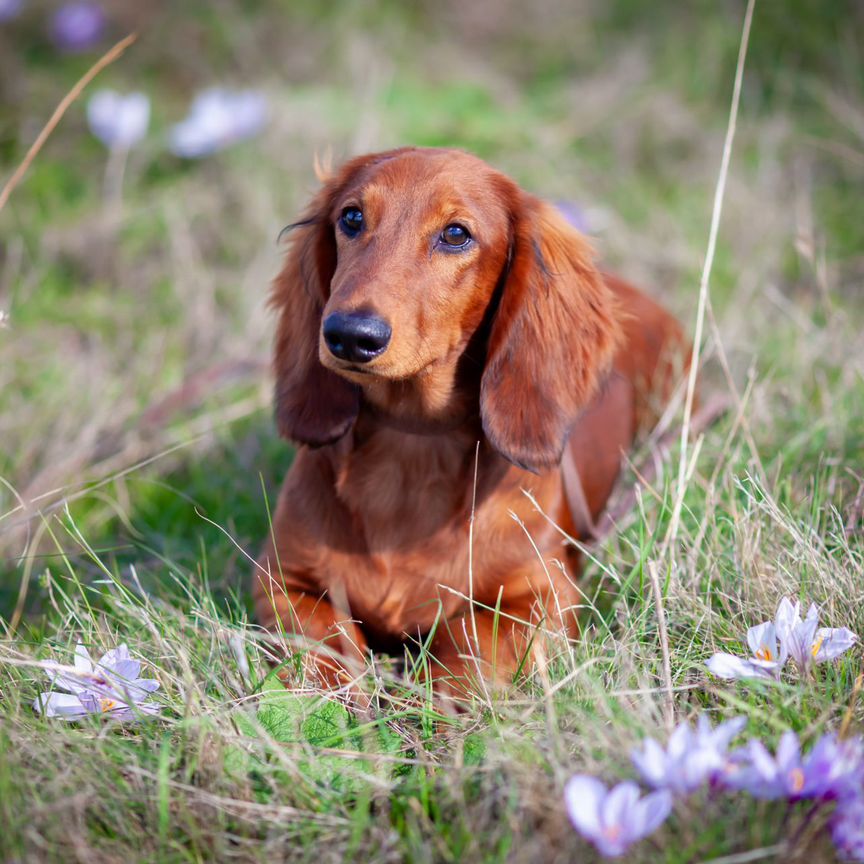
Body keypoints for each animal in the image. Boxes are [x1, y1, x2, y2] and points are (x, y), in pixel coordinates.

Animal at [253, 148, 684, 700]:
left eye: (456, 233)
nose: (349, 335)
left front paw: (440, 704)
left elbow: (472, 636)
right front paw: (336, 698)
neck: (410, 449)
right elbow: (323, 636)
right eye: (351, 218)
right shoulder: (283, 580)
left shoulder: (545, 594)